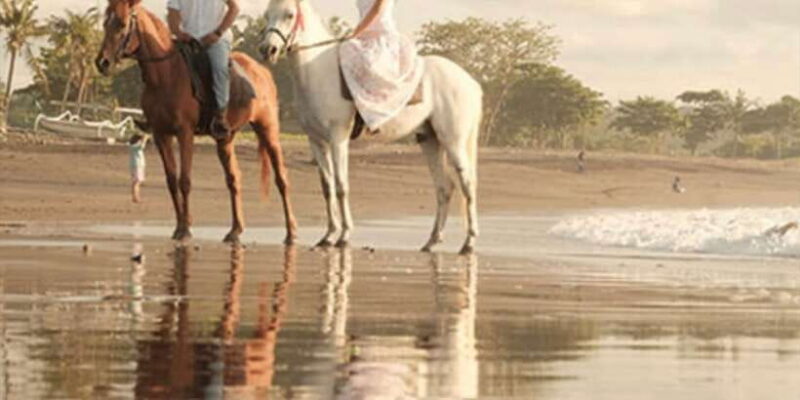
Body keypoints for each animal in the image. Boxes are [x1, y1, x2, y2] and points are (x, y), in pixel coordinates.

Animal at [95, 0, 297, 245]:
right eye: (105, 23)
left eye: (122, 24)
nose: (102, 62)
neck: (165, 75)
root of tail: (262, 72)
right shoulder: (161, 134)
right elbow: (171, 180)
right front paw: (180, 225)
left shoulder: (185, 133)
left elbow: (185, 180)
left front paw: (185, 230)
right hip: (225, 139)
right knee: (233, 179)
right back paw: (235, 230)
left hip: (268, 130)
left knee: (282, 179)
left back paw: (291, 233)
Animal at [259, 0, 483, 254]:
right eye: (266, 14)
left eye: (289, 15)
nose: (268, 49)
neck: (319, 73)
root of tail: (470, 82)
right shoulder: (316, 141)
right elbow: (327, 187)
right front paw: (328, 236)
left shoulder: (338, 138)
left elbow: (341, 185)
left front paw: (344, 236)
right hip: (431, 141)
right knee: (444, 188)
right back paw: (432, 241)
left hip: (453, 141)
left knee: (467, 185)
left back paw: (469, 242)